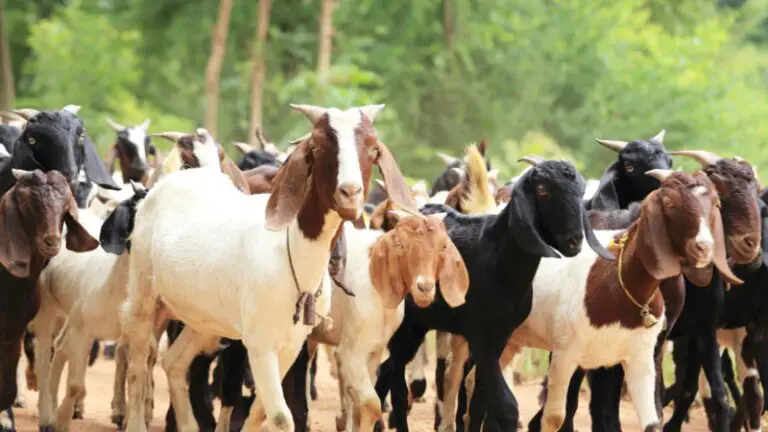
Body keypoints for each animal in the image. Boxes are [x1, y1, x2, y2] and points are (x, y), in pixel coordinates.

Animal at [117, 104, 418, 432]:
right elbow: (280, 416)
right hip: (143, 295)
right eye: (317, 146)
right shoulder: (259, 345)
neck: (293, 254)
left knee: (173, 363)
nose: (350, 193)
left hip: (203, 318)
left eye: (373, 148)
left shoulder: (292, 345)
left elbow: (261, 411)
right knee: (138, 361)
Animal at [374, 157, 614, 432]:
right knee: (397, 379)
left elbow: (480, 399)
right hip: (406, 322)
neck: (499, 256)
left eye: (580, 191)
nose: (574, 241)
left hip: (420, 323)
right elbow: (506, 406)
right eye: (543, 189)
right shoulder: (482, 338)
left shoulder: (500, 337)